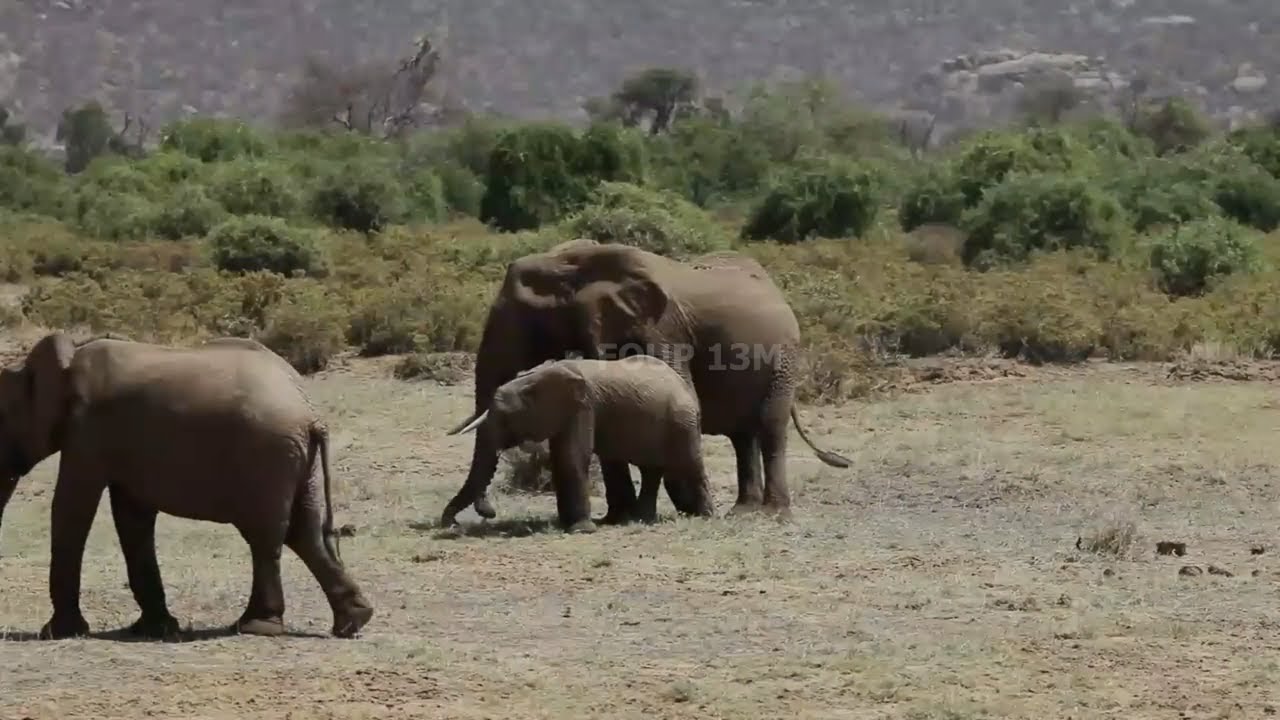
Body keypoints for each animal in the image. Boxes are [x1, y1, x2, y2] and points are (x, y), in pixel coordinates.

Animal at [0, 332, 374, 641]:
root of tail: (311, 415)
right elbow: (132, 517)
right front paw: (154, 630)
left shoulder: (86, 431)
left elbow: (72, 507)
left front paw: (58, 632)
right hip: (297, 460)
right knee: (304, 533)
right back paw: (353, 622)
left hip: (268, 454)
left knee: (266, 536)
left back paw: (255, 627)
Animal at [455, 355, 715, 532]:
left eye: (505, 419)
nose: (452, 523)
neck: (537, 377)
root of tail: (681, 383)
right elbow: (560, 458)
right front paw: (566, 524)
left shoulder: (583, 406)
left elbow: (572, 456)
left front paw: (581, 530)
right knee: (651, 470)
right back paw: (642, 519)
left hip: (683, 421)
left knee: (691, 464)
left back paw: (705, 516)